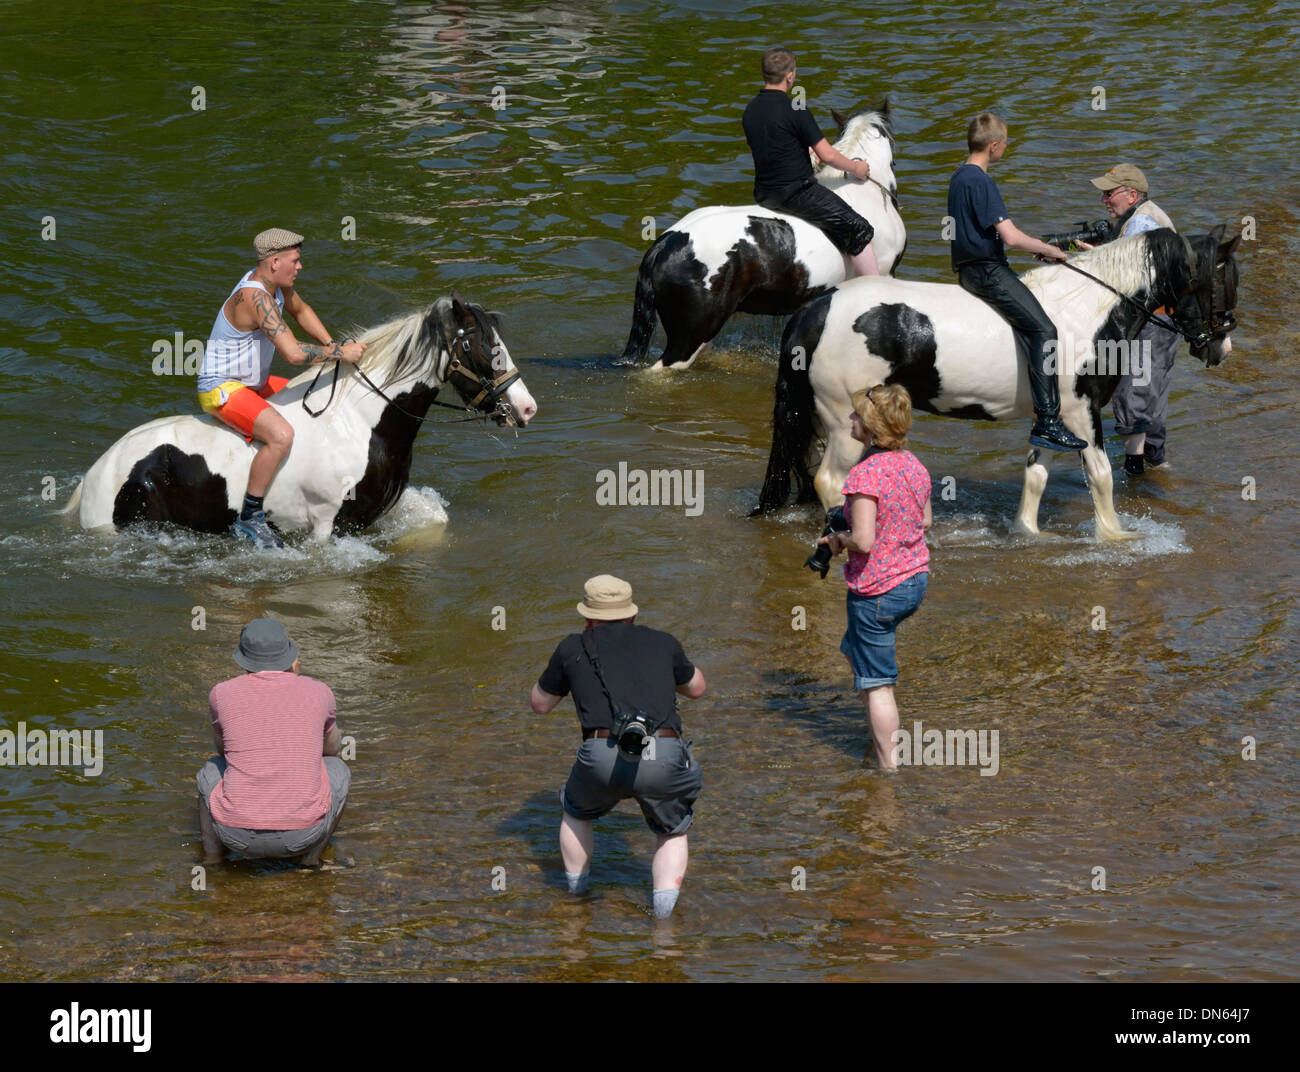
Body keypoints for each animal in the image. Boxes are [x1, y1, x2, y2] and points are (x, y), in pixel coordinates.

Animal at [67, 294, 538, 540]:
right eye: (484, 347)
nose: (526, 407)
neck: (361, 423)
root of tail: (96, 473)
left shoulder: (377, 514)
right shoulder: (331, 524)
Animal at [754, 226, 1241, 540]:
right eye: (1224, 282)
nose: (1221, 349)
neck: (1088, 308)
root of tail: (817, 310)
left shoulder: (1054, 420)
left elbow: (1037, 475)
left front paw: (1027, 533)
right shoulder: (1080, 411)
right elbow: (1101, 476)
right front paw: (1117, 537)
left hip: (822, 418)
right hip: (845, 420)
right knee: (829, 480)